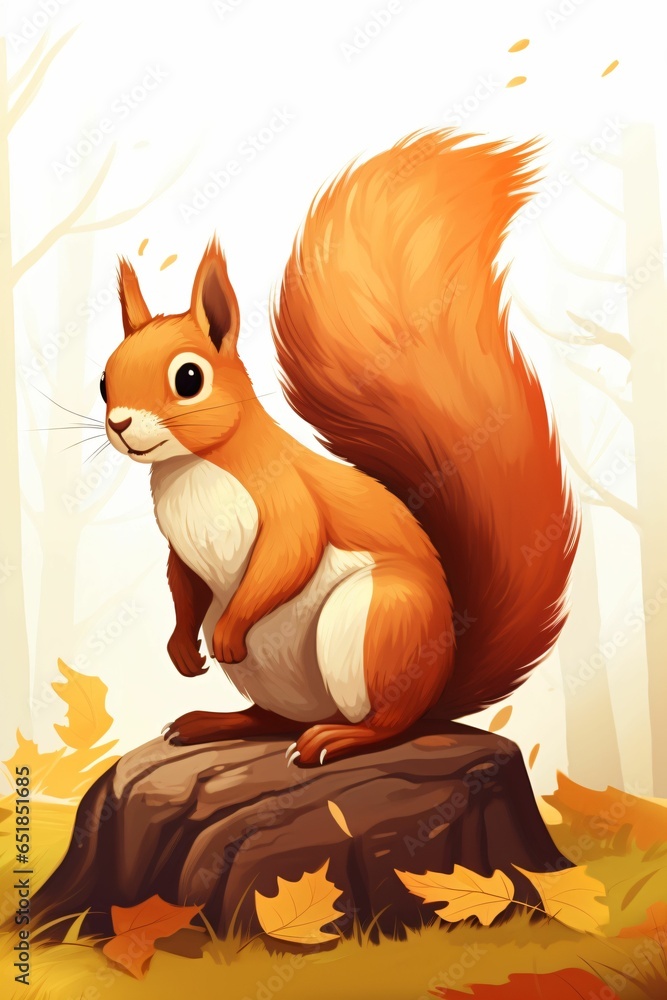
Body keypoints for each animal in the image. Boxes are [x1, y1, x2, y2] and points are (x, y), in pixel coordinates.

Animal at [102, 130, 578, 766]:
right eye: (103, 381)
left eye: (188, 378)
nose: (120, 423)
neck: (191, 467)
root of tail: (438, 685)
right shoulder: (181, 546)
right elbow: (183, 582)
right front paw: (183, 651)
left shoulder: (286, 495)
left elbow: (291, 551)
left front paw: (227, 633)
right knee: (271, 719)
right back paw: (214, 722)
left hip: (374, 622)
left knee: (388, 722)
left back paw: (339, 738)